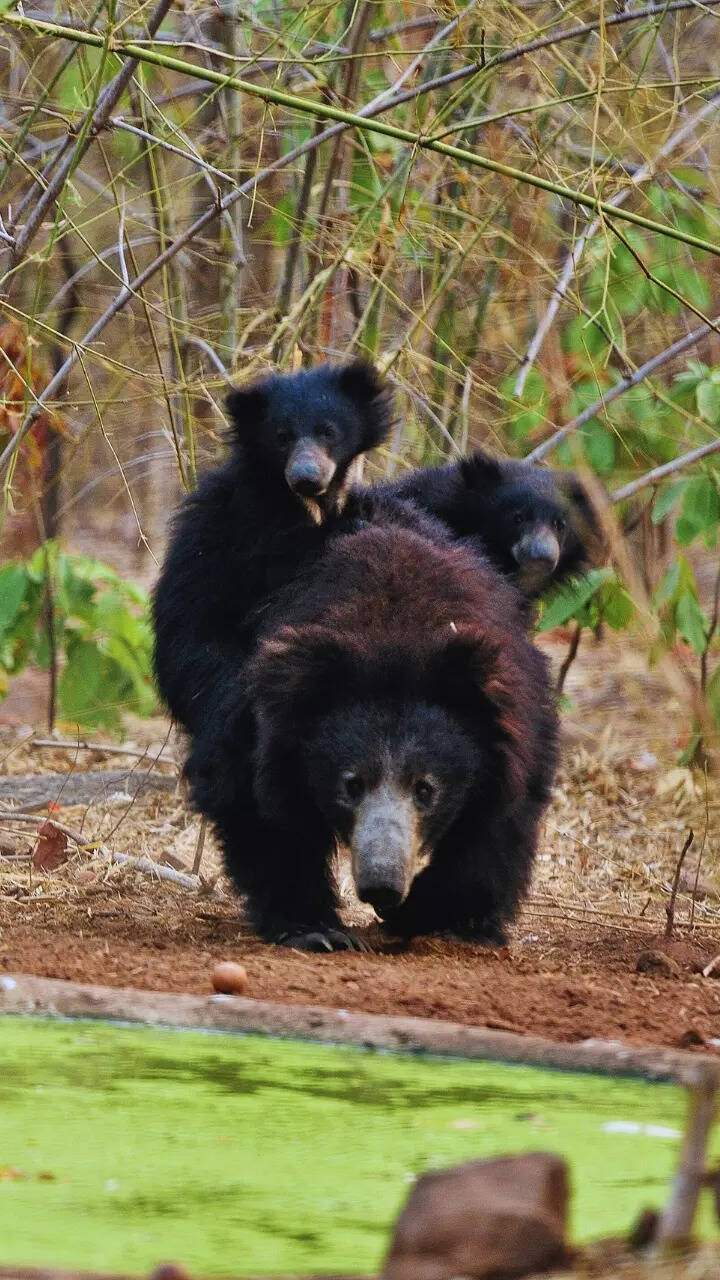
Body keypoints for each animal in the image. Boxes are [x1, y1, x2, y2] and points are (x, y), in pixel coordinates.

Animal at [151, 360, 395, 736]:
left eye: (328, 432)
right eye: (282, 437)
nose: (306, 475)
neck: (305, 501)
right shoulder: (252, 522)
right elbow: (281, 561)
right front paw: (354, 523)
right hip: (203, 656)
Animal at [196, 522, 558, 950]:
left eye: (425, 789)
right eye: (351, 785)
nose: (381, 886)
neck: (392, 637)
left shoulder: (511, 743)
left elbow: (496, 826)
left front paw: (435, 918)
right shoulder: (264, 735)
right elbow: (266, 814)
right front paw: (315, 930)